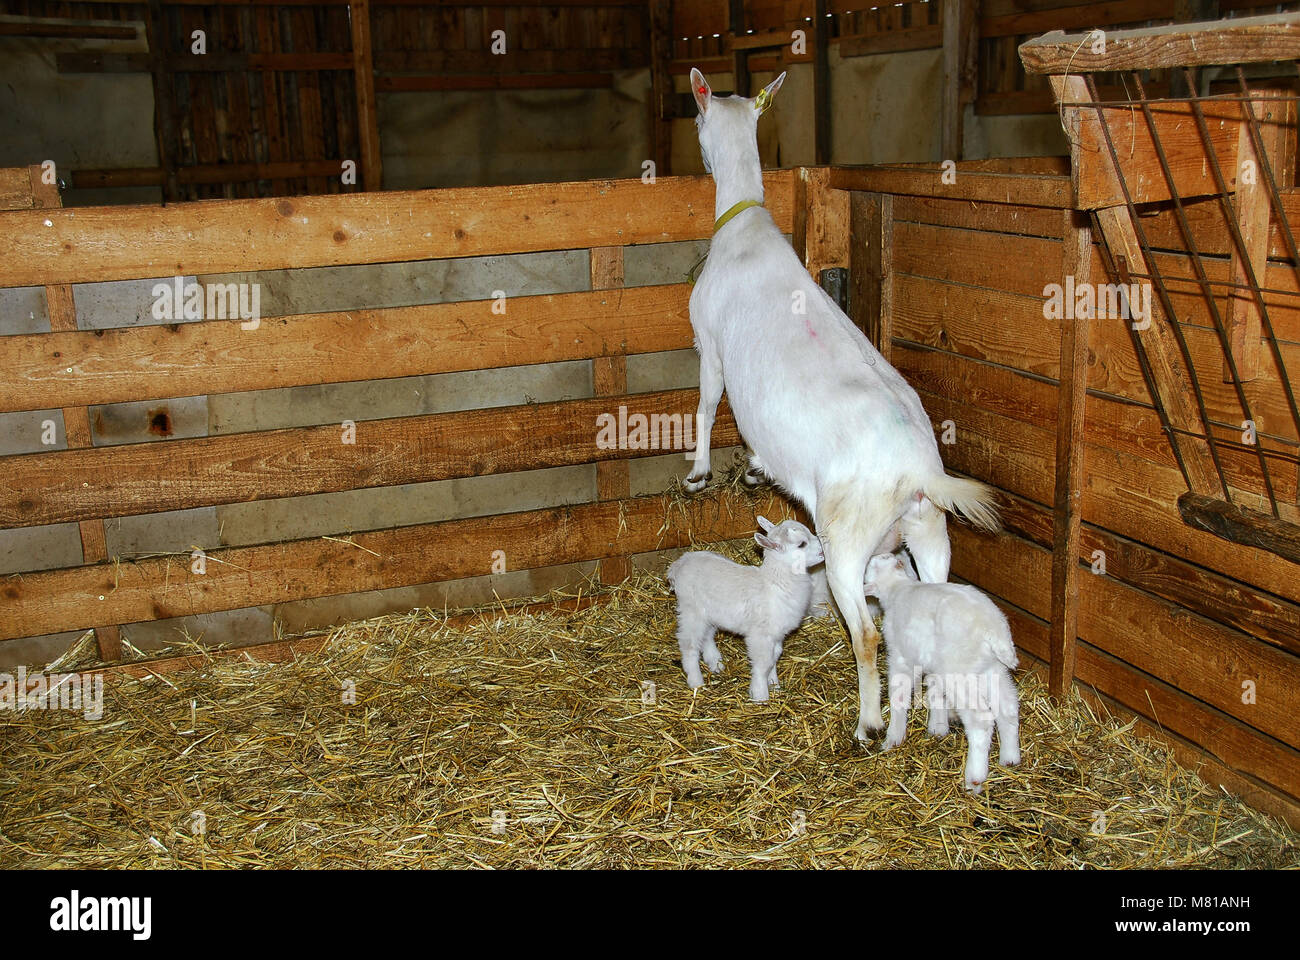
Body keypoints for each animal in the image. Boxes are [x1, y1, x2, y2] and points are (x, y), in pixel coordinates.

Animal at [684, 68, 1001, 740]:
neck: (743, 225)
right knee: (932, 598)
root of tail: (918, 470)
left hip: (847, 541)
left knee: (867, 634)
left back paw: (868, 724)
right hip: (930, 532)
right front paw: (755, 468)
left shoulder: (709, 342)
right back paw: (934, 718)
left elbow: (705, 404)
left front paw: (698, 474)